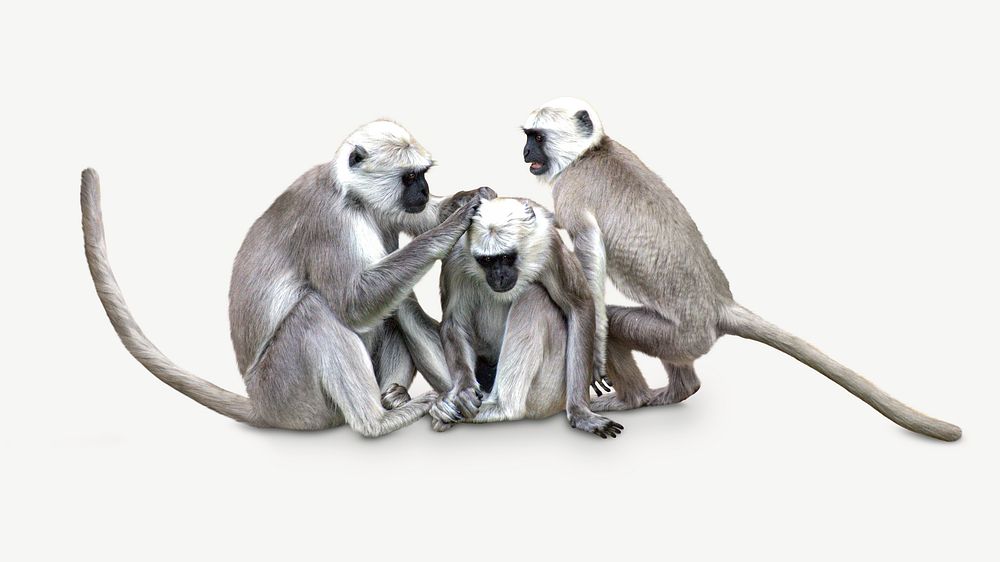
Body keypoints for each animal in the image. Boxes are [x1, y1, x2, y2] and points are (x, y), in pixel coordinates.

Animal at [82, 119, 493, 437]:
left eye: (422, 177)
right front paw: (456, 222)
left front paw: (468, 197)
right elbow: (354, 304)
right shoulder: (328, 220)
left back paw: (394, 397)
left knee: (393, 304)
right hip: (290, 393)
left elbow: (422, 219)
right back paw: (378, 422)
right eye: (409, 177)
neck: (351, 195)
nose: (423, 190)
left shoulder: (386, 208)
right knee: (317, 311)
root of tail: (261, 405)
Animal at [428, 197, 624, 438]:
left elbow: (579, 306)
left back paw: (502, 408)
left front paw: (580, 413)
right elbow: (454, 323)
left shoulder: (548, 244)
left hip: (549, 391)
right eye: (486, 261)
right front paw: (464, 389)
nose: (499, 277)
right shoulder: (455, 256)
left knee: (534, 294)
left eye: (506, 258)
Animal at [520, 98, 962, 441]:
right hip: (683, 340)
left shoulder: (572, 190)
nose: (525, 154)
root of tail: (720, 305)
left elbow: (590, 268)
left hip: (682, 335)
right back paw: (677, 391)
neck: (593, 151)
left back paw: (633, 398)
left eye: (536, 137)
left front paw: (593, 357)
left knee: (614, 323)